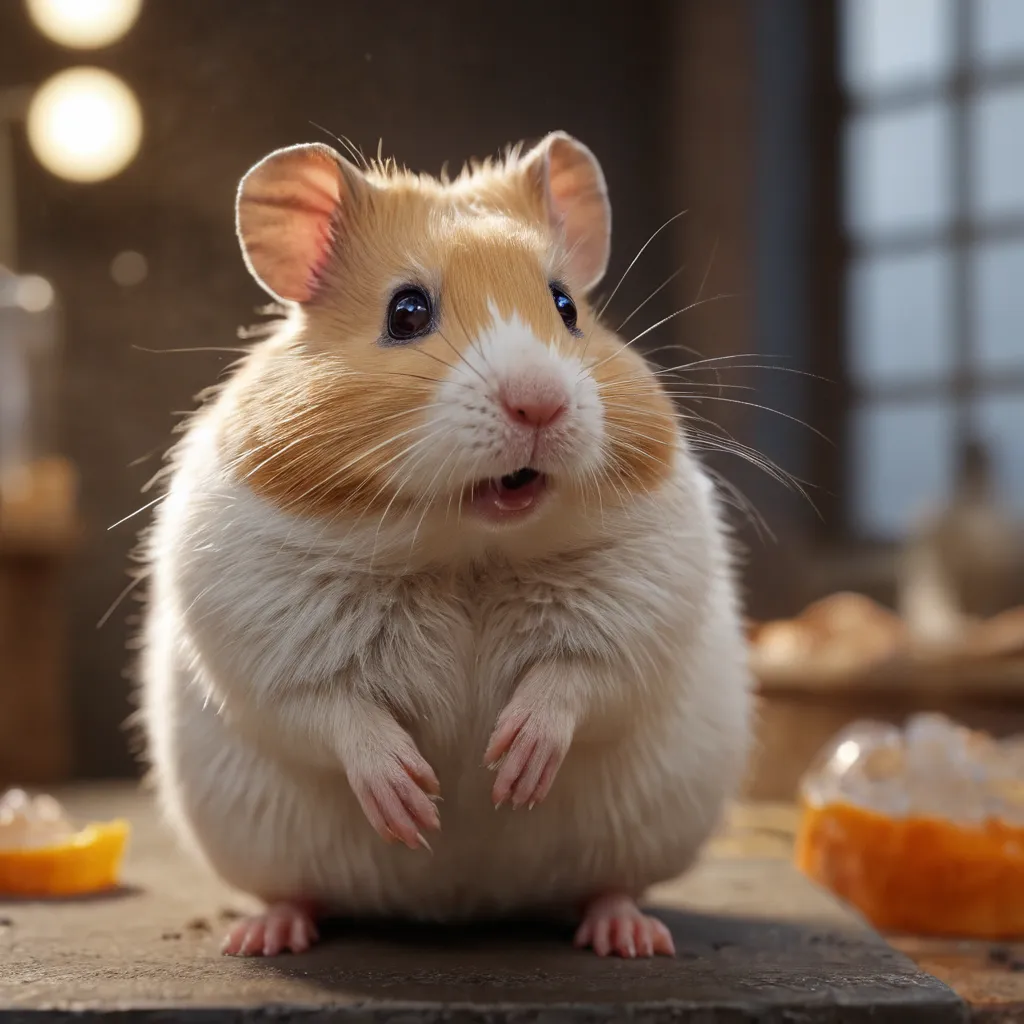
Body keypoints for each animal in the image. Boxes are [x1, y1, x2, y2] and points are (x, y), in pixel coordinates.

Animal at [138, 131, 752, 959]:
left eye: (566, 305)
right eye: (406, 312)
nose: (539, 403)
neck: (467, 550)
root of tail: (462, 907)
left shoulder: (645, 586)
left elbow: (578, 676)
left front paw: (511, 770)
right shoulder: (265, 625)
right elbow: (333, 710)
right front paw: (414, 802)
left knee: (610, 885)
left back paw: (629, 935)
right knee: (294, 887)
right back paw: (266, 935)